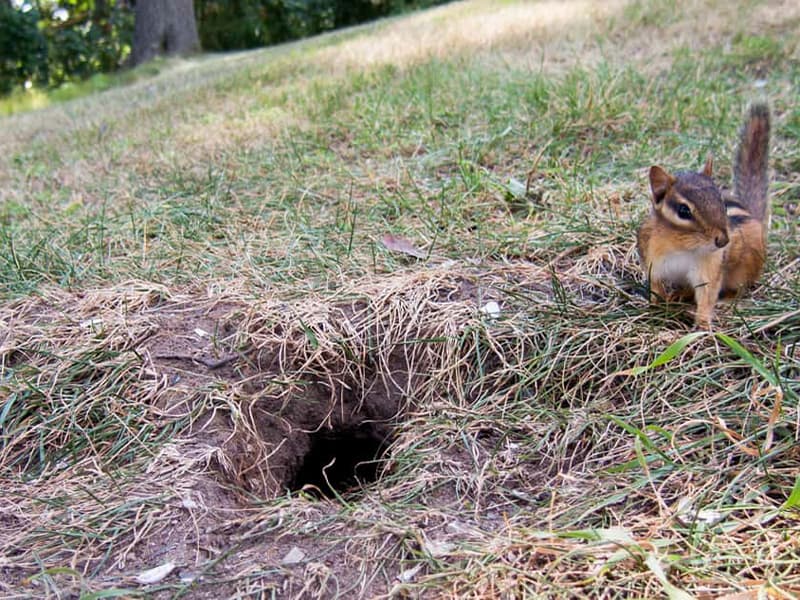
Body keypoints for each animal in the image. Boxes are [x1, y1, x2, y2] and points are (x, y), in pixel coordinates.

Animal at [637, 103, 771, 328]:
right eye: (684, 211)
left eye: (721, 202)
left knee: (740, 288)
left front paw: (702, 325)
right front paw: (655, 306)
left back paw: (725, 300)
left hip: (744, 269)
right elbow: (655, 285)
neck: (680, 245)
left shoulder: (710, 267)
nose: (723, 241)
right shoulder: (652, 261)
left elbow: (707, 295)